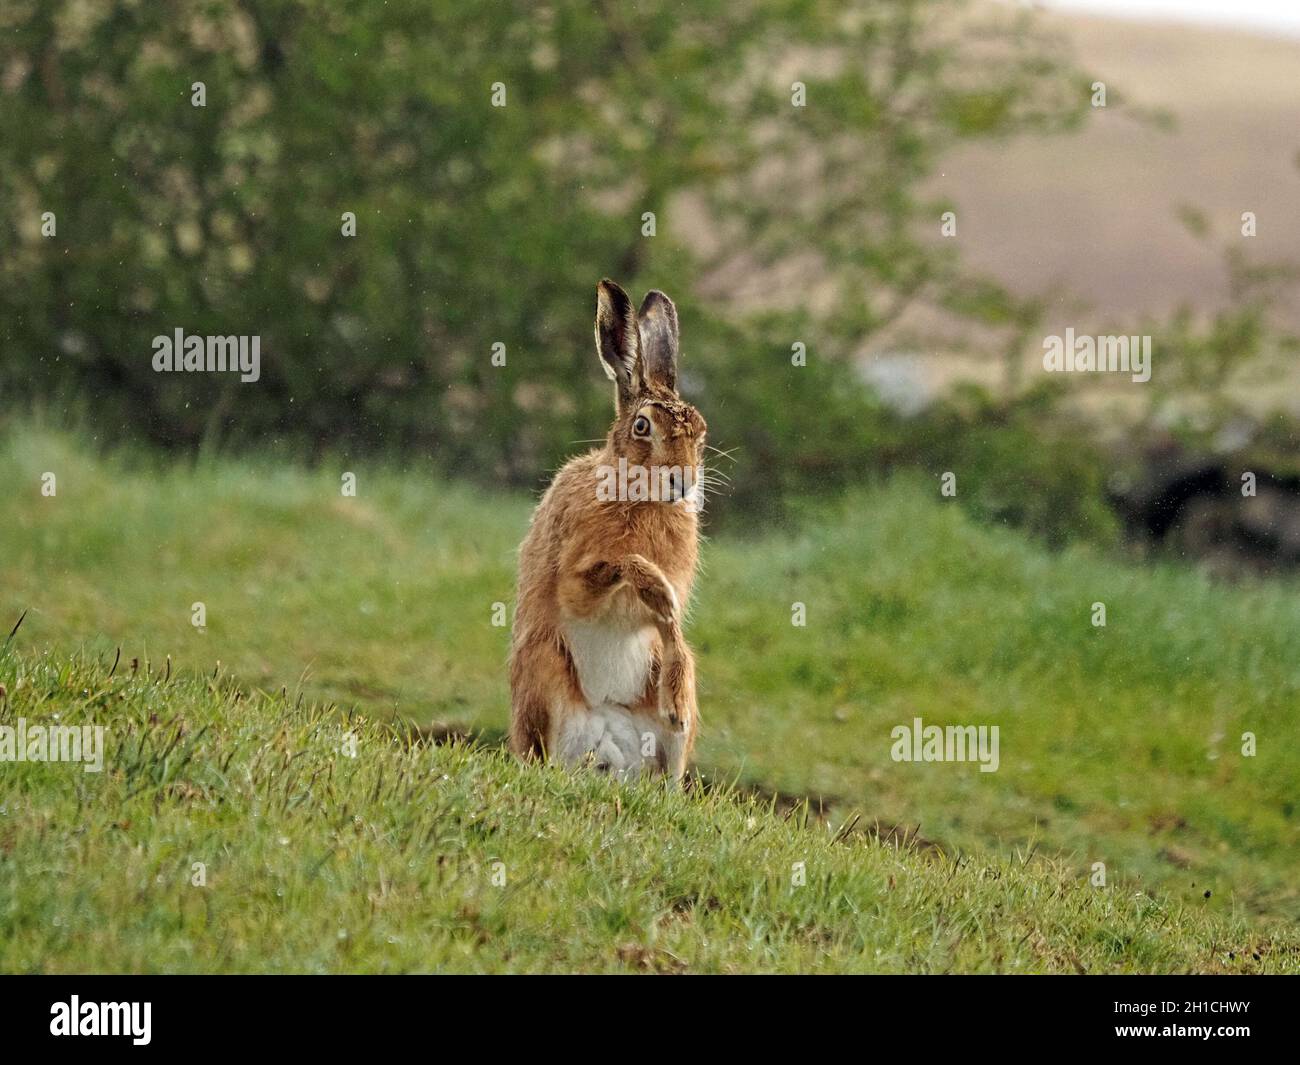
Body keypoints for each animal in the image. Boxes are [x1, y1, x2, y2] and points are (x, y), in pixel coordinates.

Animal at [509, 279, 706, 782]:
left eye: (700, 433)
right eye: (642, 426)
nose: (682, 480)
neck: (638, 497)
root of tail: (612, 754)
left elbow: (671, 634)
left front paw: (676, 702)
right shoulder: (575, 580)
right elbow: (621, 566)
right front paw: (657, 591)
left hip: (668, 746)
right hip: (543, 673)